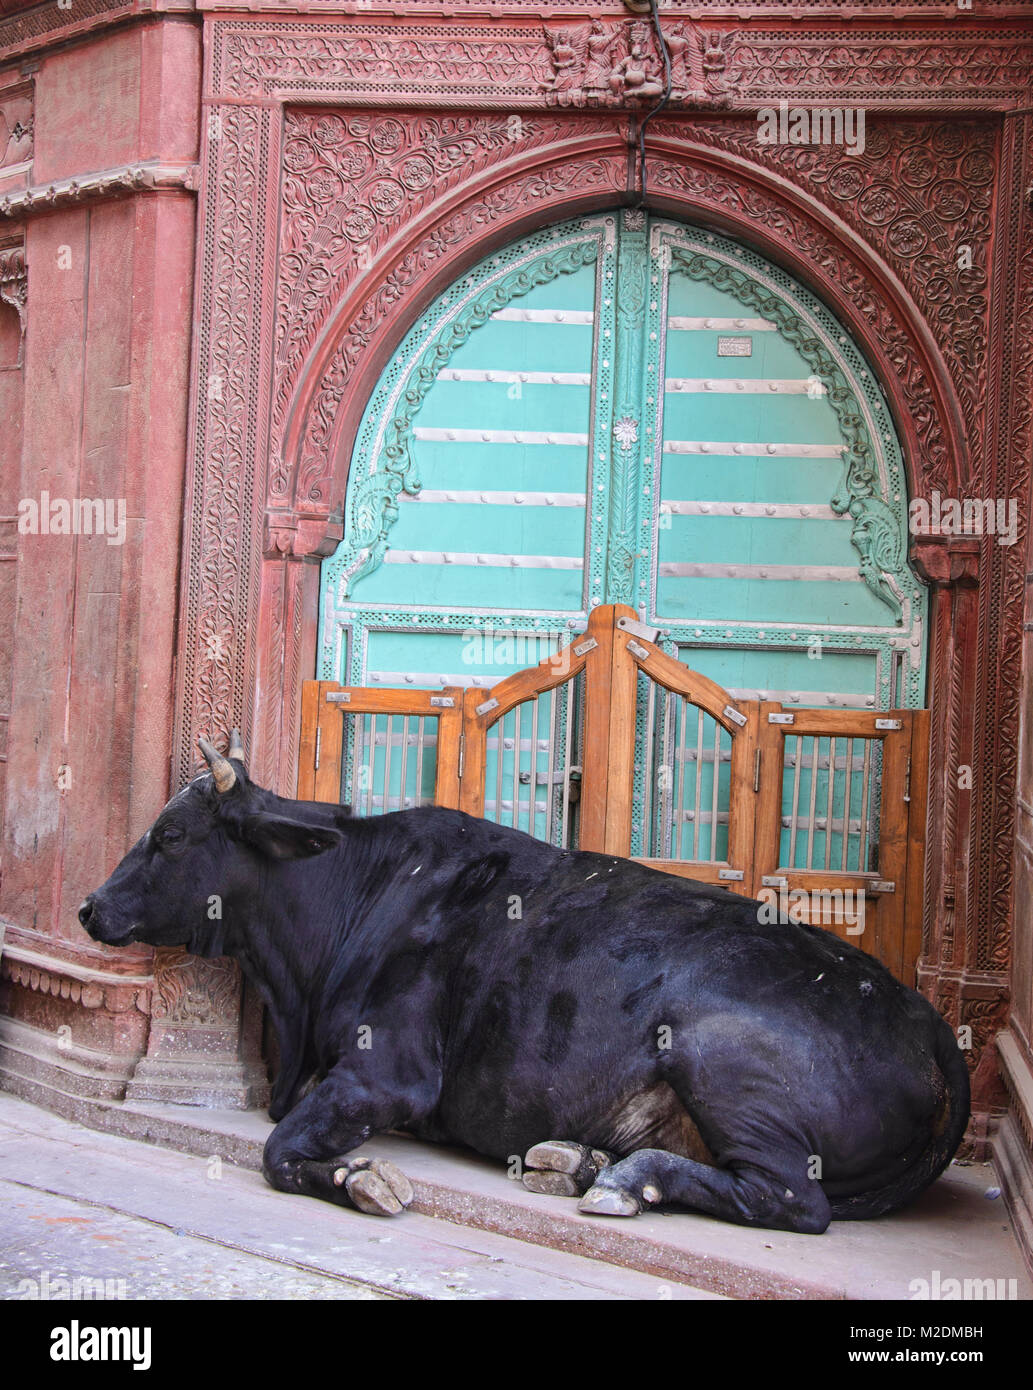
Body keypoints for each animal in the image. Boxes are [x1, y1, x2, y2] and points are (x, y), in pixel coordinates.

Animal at [78, 732, 969, 1234]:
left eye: (170, 834)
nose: (89, 906)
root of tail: (924, 1016)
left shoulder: (386, 1073)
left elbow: (278, 1151)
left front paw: (362, 1178)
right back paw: (572, 1161)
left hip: (725, 1058)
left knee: (792, 1202)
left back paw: (622, 1182)